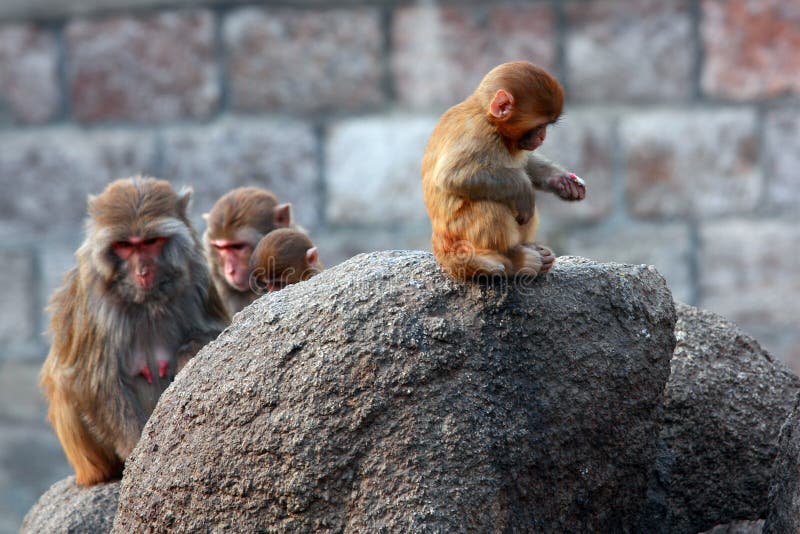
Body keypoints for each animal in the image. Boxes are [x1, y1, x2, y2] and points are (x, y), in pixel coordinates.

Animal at [40, 176, 230, 486]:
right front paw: (135, 452)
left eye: (150, 242)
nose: (142, 272)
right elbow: (92, 381)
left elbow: (219, 332)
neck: (146, 301)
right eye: (125, 245)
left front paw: (187, 353)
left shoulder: (199, 278)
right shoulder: (94, 298)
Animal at [421, 61, 586, 280]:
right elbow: (453, 176)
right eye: (539, 126)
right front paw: (524, 189)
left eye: (546, 126)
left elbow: (525, 164)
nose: (542, 137)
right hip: (460, 235)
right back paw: (514, 261)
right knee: (488, 204)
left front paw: (561, 181)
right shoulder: (477, 134)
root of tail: (439, 242)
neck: (491, 121)